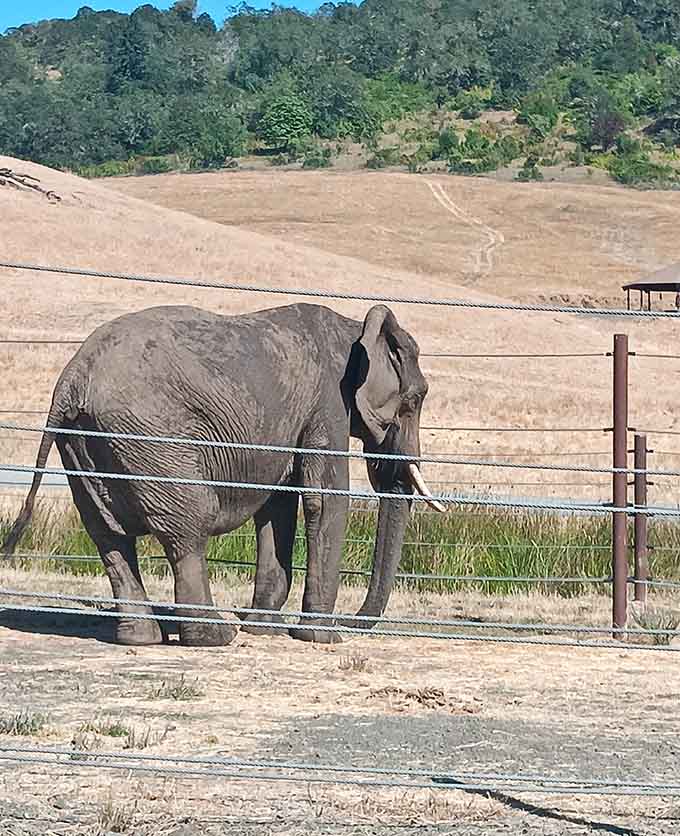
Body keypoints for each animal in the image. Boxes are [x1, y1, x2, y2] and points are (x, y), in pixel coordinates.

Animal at [2, 302, 444, 646]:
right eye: (415, 400)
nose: (353, 624)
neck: (355, 328)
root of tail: (72, 379)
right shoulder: (329, 404)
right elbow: (323, 498)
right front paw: (322, 638)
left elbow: (277, 504)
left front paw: (264, 630)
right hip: (151, 437)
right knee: (186, 529)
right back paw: (214, 636)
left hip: (83, 441)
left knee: (108, 536)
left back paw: (141, 638)